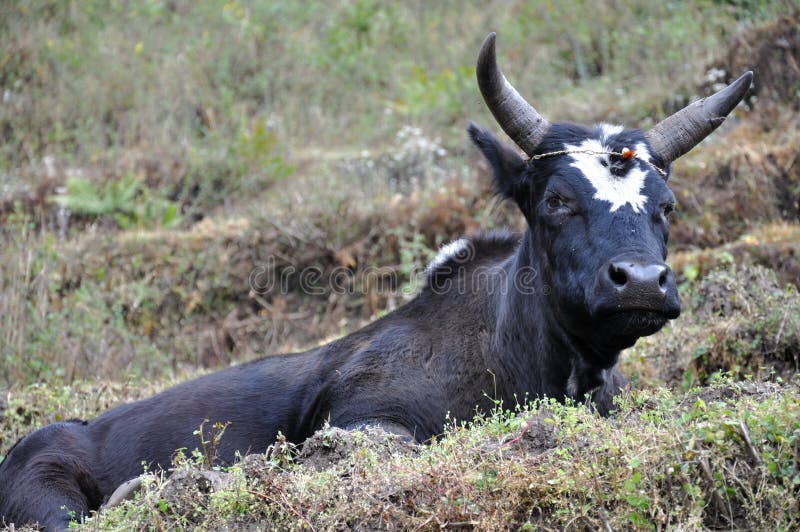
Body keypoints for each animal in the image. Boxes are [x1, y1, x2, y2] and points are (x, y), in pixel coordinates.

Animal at [0, 33, 751, 530]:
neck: (535, 362)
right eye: (557, 200)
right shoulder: (358, 418)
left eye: (668, 206)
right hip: (45, 492)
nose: (641, 282)